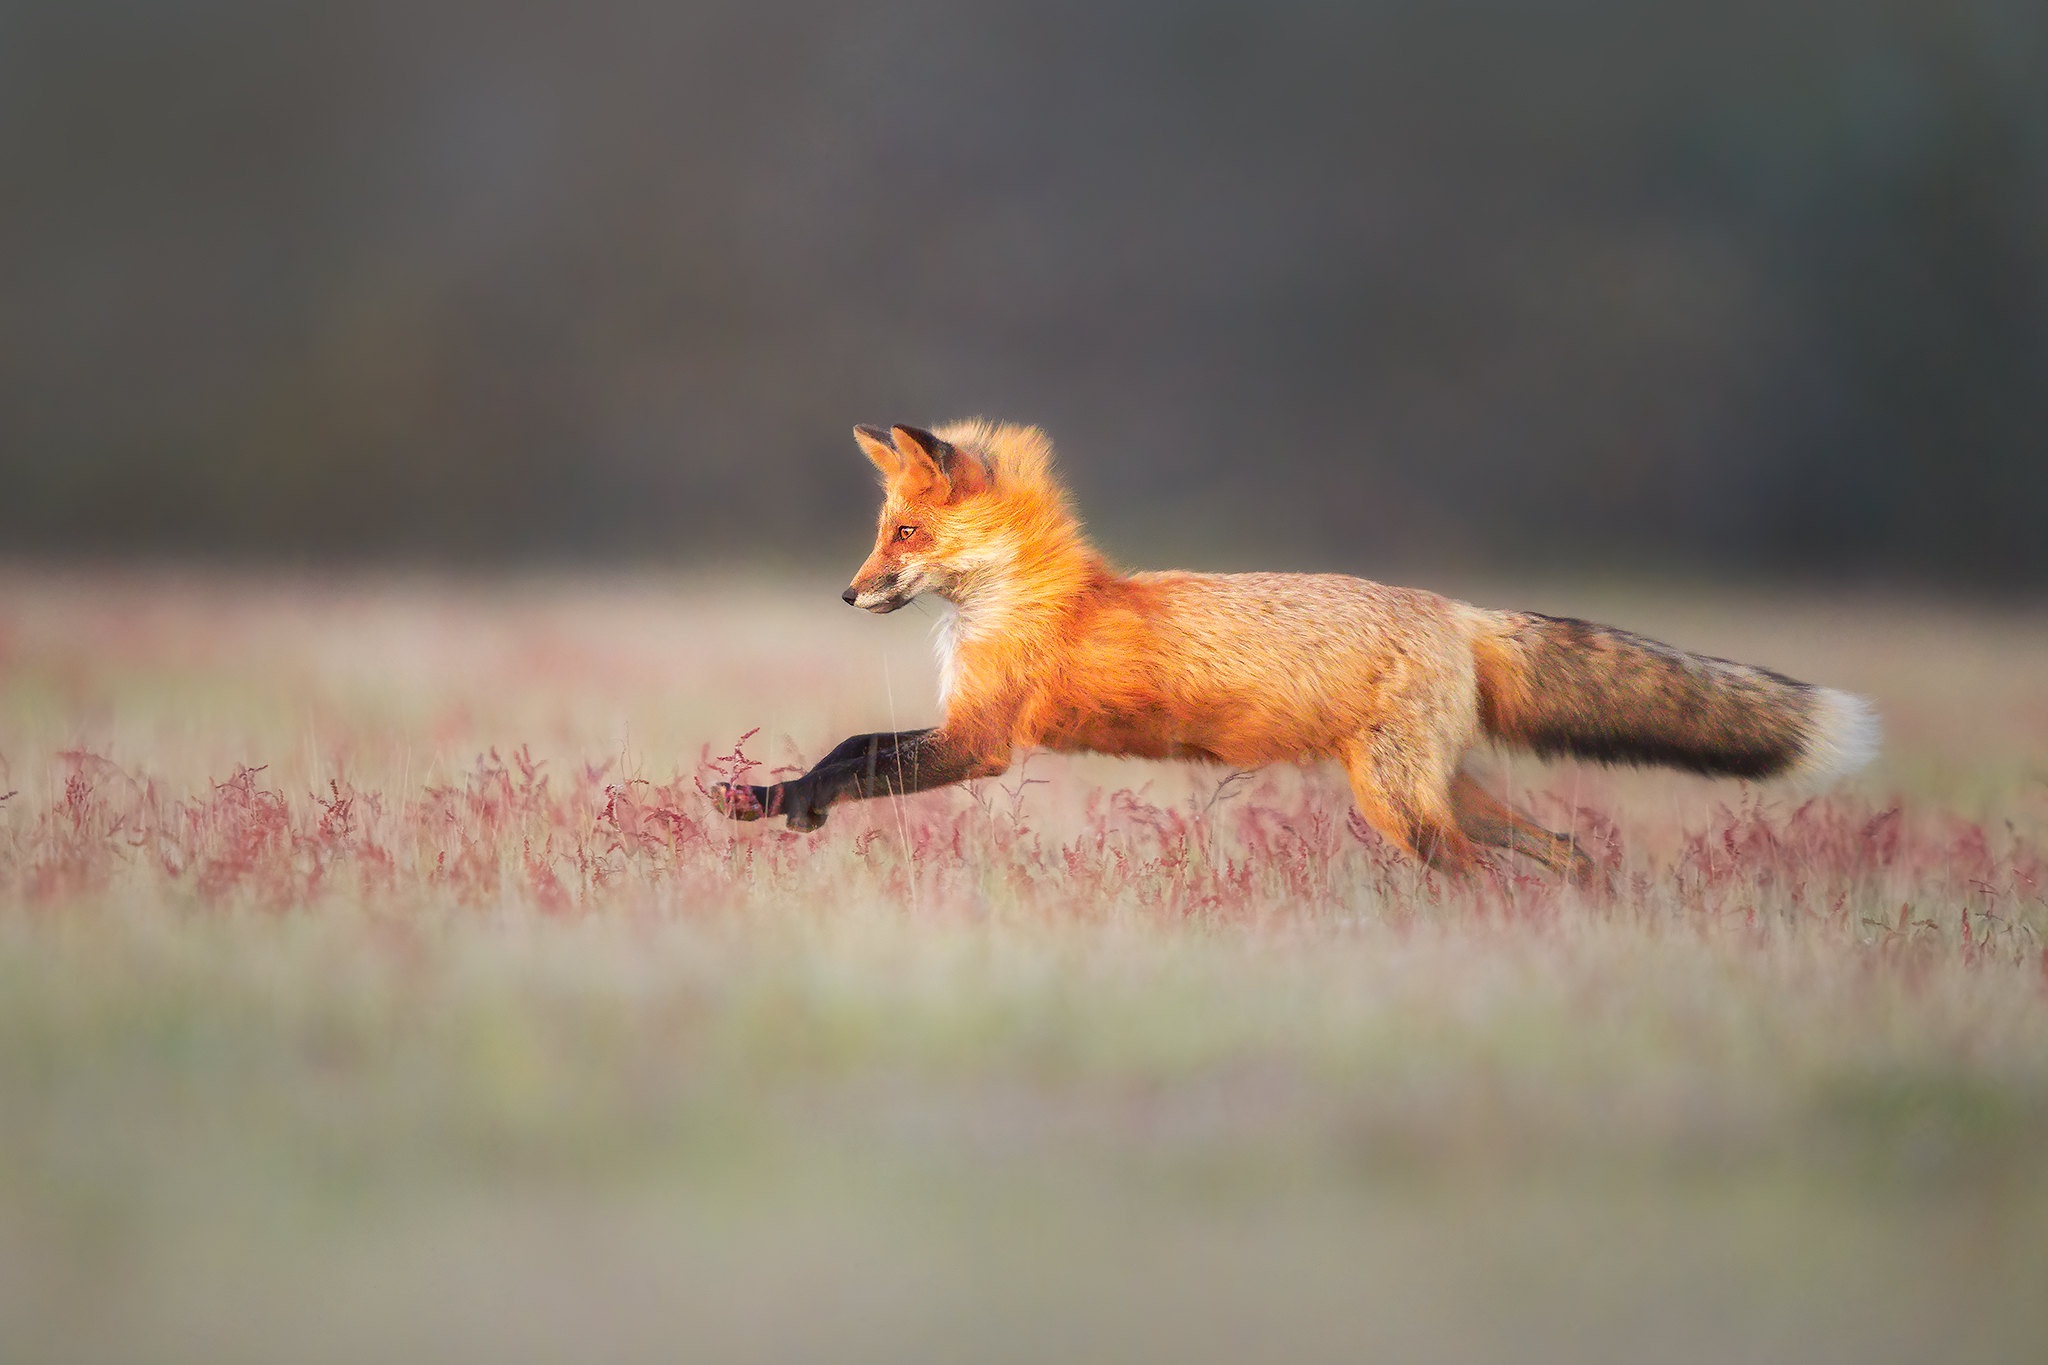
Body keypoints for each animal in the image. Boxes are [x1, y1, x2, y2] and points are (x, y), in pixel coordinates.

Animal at [712, 421, 1878, 877]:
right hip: (1447, 792)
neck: (1020, 597)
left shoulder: (982, 742)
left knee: (1483, 877)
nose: (848, 591)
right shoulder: (965, 729)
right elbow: (851, 747)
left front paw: (790, 804)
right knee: (1565, 849)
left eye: (904, 535)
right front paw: (766, 801)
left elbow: (857, 758)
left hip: (1403, 808)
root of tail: (1457, 611)